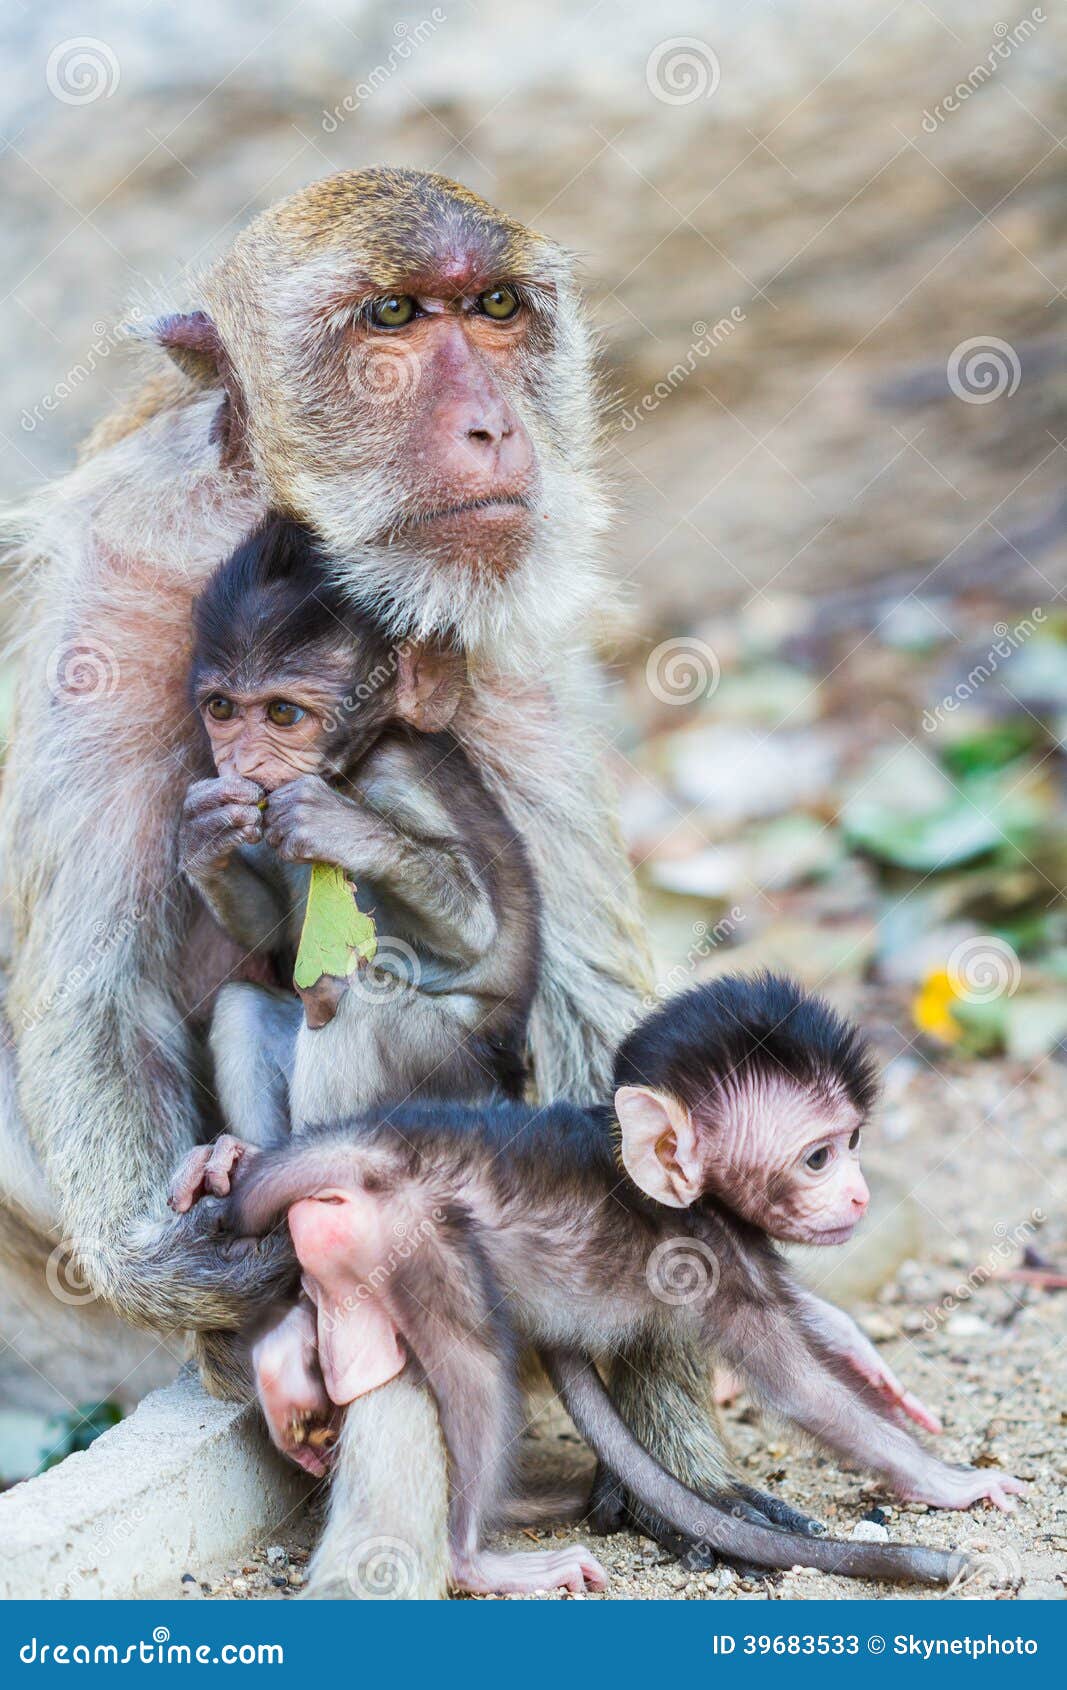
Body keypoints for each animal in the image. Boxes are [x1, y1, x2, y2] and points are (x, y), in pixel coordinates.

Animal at [168, 512, 540, 1470]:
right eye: (221, 709)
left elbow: (474, 931)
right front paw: (203, 836)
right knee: (253, 1003)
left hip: (452, 1092)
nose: (243, 759)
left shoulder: (391, 780)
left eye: (282, 713)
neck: (350, 759)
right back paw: (244, 1174)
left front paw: (343, 831)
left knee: (359, 1011)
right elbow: (272, 940)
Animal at [218, 974, 1022, 1596]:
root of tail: (376, 1147)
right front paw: (946, 1480)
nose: (858, 1194)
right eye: (819, 1158)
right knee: (475, 1367)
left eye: (853, 1143)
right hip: (418, 1232)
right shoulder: (715, 1253)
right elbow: (805, 1392)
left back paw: (286, 1368)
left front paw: (866, 1357)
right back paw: (476, 1561)